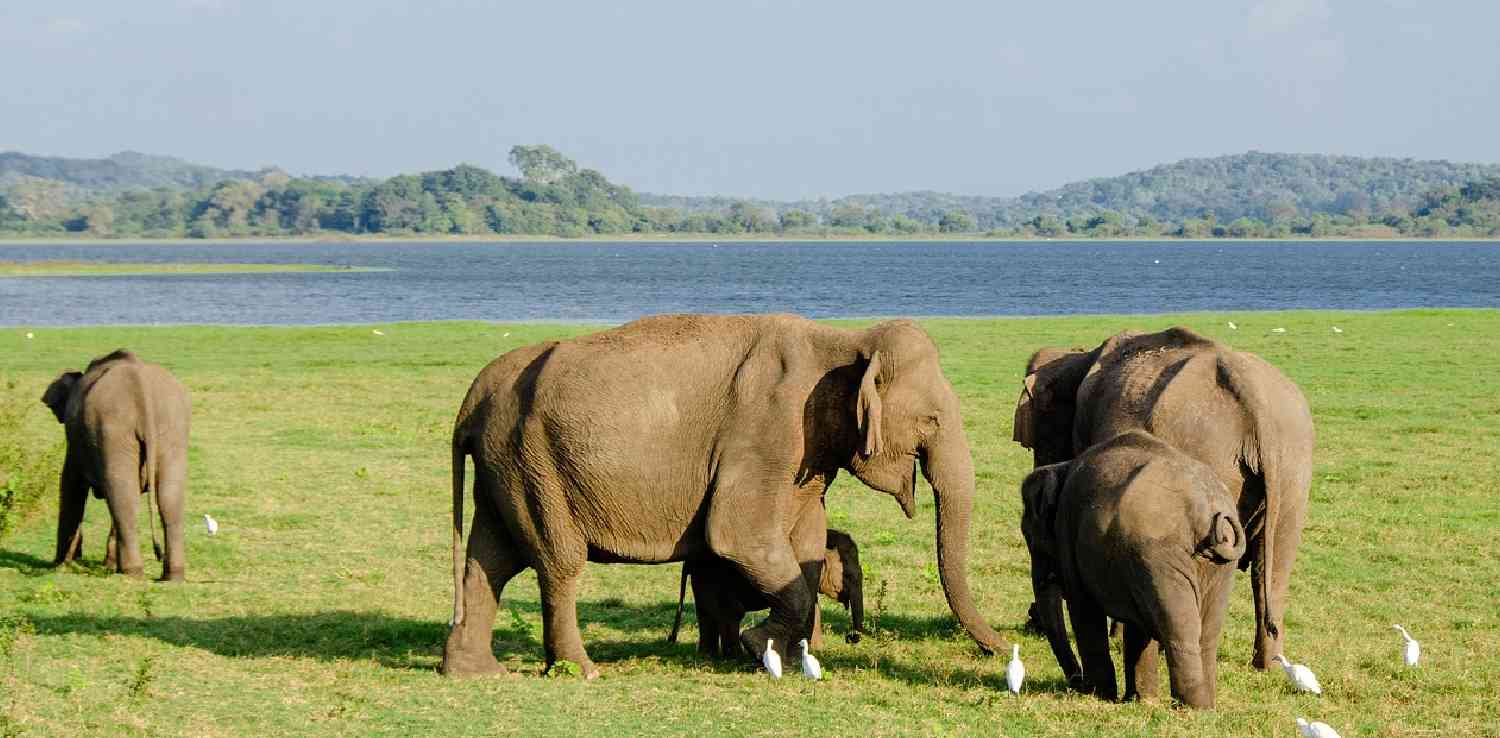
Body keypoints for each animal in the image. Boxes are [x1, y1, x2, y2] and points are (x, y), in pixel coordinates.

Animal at [41, 349, 190, 581]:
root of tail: (142, 388)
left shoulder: (75, 443)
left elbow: (71, 484)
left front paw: (61, 564)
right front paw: (107, 565)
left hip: (114, 430)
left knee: (123, 497)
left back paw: (132, 573)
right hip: (172, 430)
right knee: (165, 499)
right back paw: (171, 577)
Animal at [668, 528, 864, 657]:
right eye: (848, 575)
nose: (850, 637)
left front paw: (816, 650)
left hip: (703, 576)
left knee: (707, 611)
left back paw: (708, 657)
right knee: (731, 612)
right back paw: (735, 658)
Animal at [1012, 326, 1313, 669]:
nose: (1030, 621)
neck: (1080, 355)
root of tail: (1254, 398)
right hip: (1294, 466)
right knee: (1272, 567)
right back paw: (1268, 664)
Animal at [1021, 430, 1247, 709]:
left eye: (1030, 537)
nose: (1076, 682)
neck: (1062, 467)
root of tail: (1206, 508)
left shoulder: (1068, 530)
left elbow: (1083, 608)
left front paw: (1099, 695)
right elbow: (1138, 626)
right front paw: (1140, 700)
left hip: (1160, 555)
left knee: (1178, 628)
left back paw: (1189, 707)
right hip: (1215, 567)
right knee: (1206, 634)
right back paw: (1205, 707)